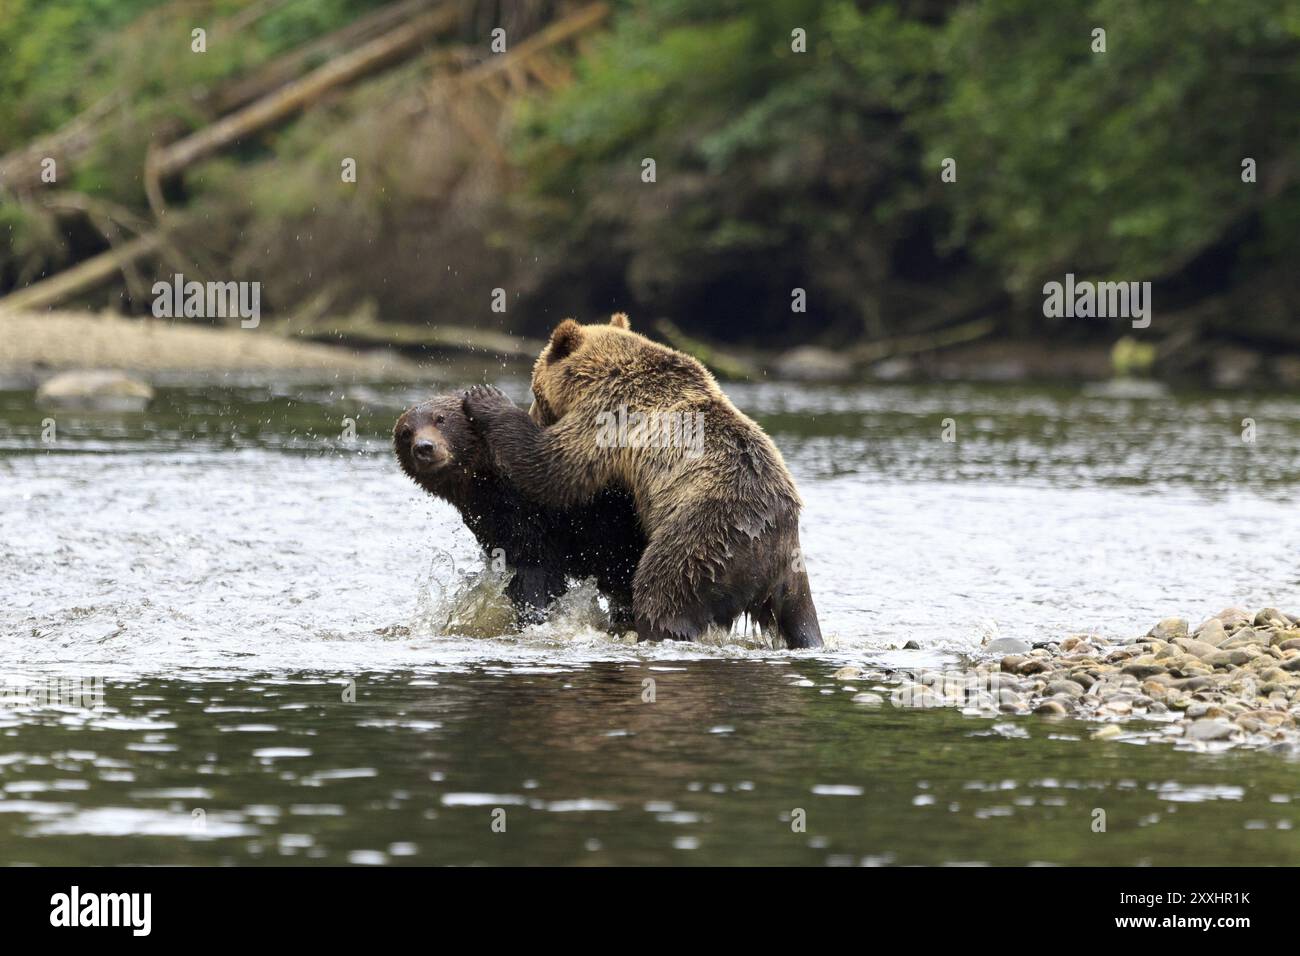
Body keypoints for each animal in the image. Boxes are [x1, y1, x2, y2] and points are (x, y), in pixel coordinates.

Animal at [393, 392, 645, 629]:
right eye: (406, 432)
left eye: (440, 419)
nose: (424, 447)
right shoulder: (492, 520)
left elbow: (538, 574)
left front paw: (534, 613)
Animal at [462, 313, 823, 648]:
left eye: (535, 392)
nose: (535, 413)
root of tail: (770, 550)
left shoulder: (606, 416)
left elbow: (554, 465)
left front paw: (485, 398)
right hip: (791, 575)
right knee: (802, 619)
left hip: (705, 537)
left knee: (663, 592)